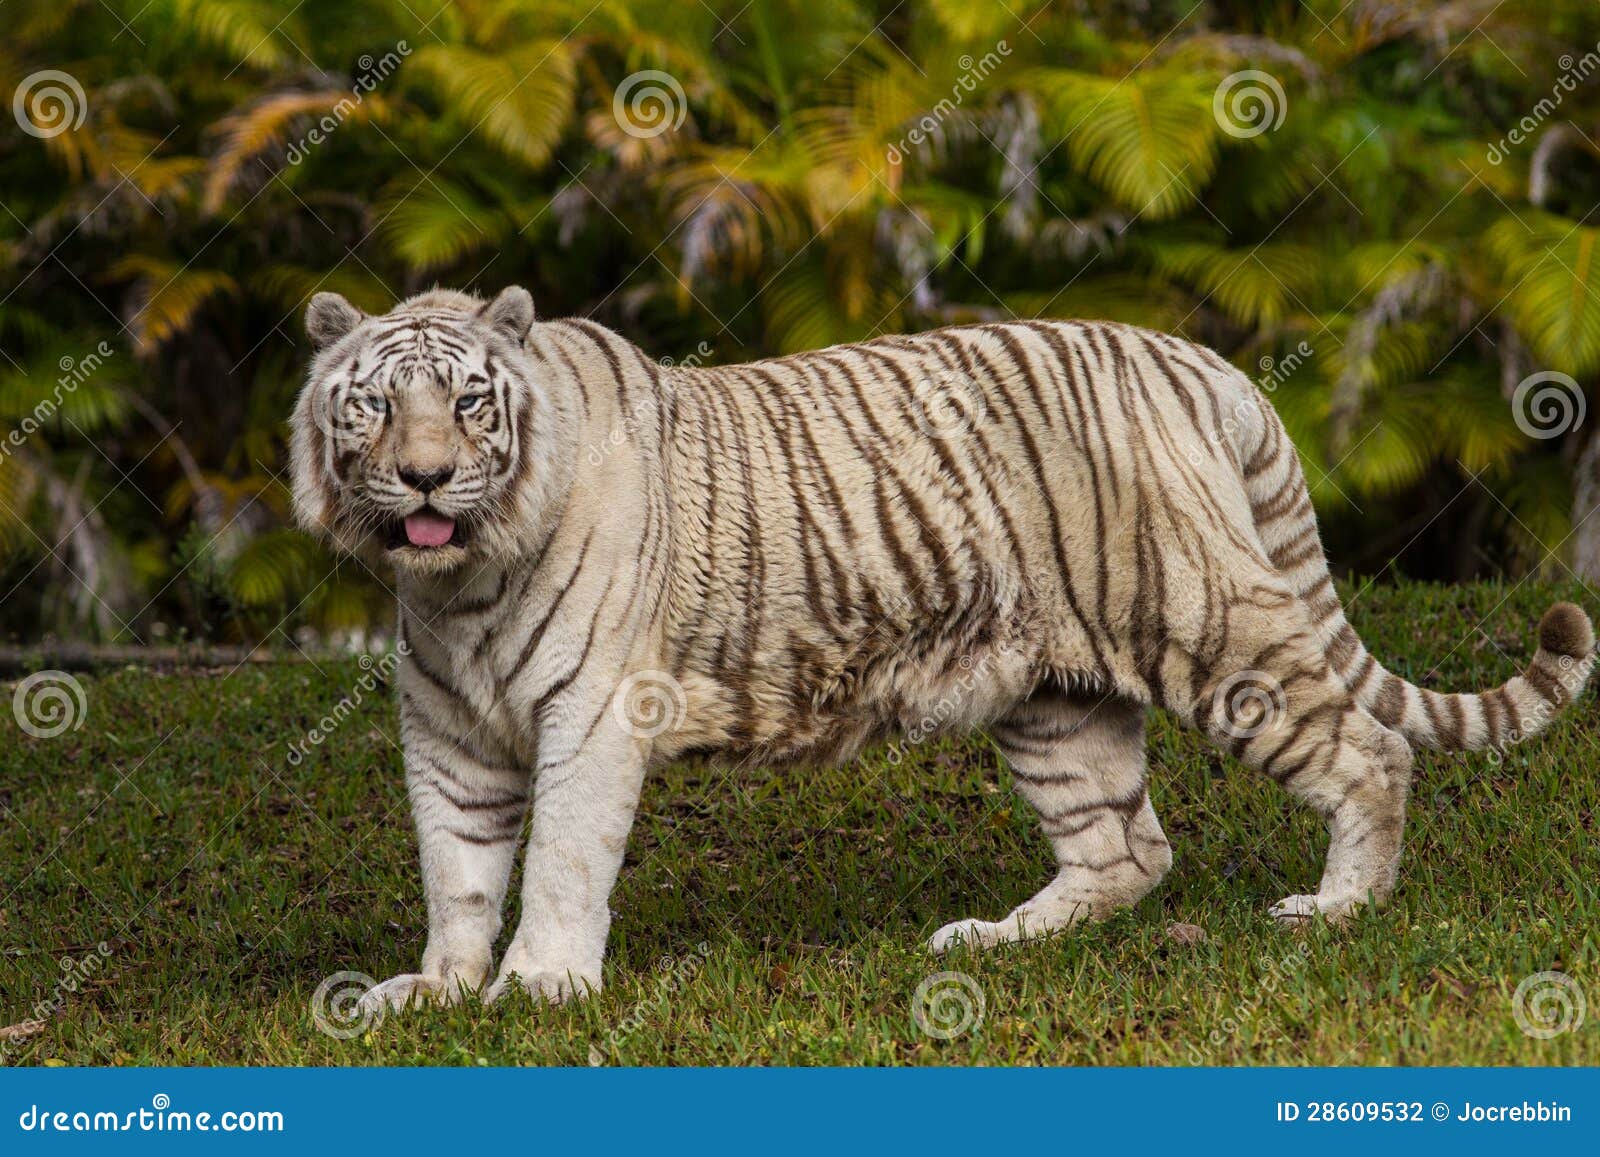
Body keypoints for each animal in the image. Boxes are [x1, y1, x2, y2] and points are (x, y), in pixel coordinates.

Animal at [291, 284, 1594, 1010]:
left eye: (468, 403)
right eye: (373, 405)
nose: (423, 477)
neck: (457, 582)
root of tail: (1203, 361)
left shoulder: (597, 709)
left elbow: (561, 854)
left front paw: (543, 989)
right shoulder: (448, 734)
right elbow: (458, 867)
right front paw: (438, 991)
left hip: (1209, 626)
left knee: (1372, 749)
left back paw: (1336, 909)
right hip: (1053, 695)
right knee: (1127, 844)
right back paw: (1000, 940)